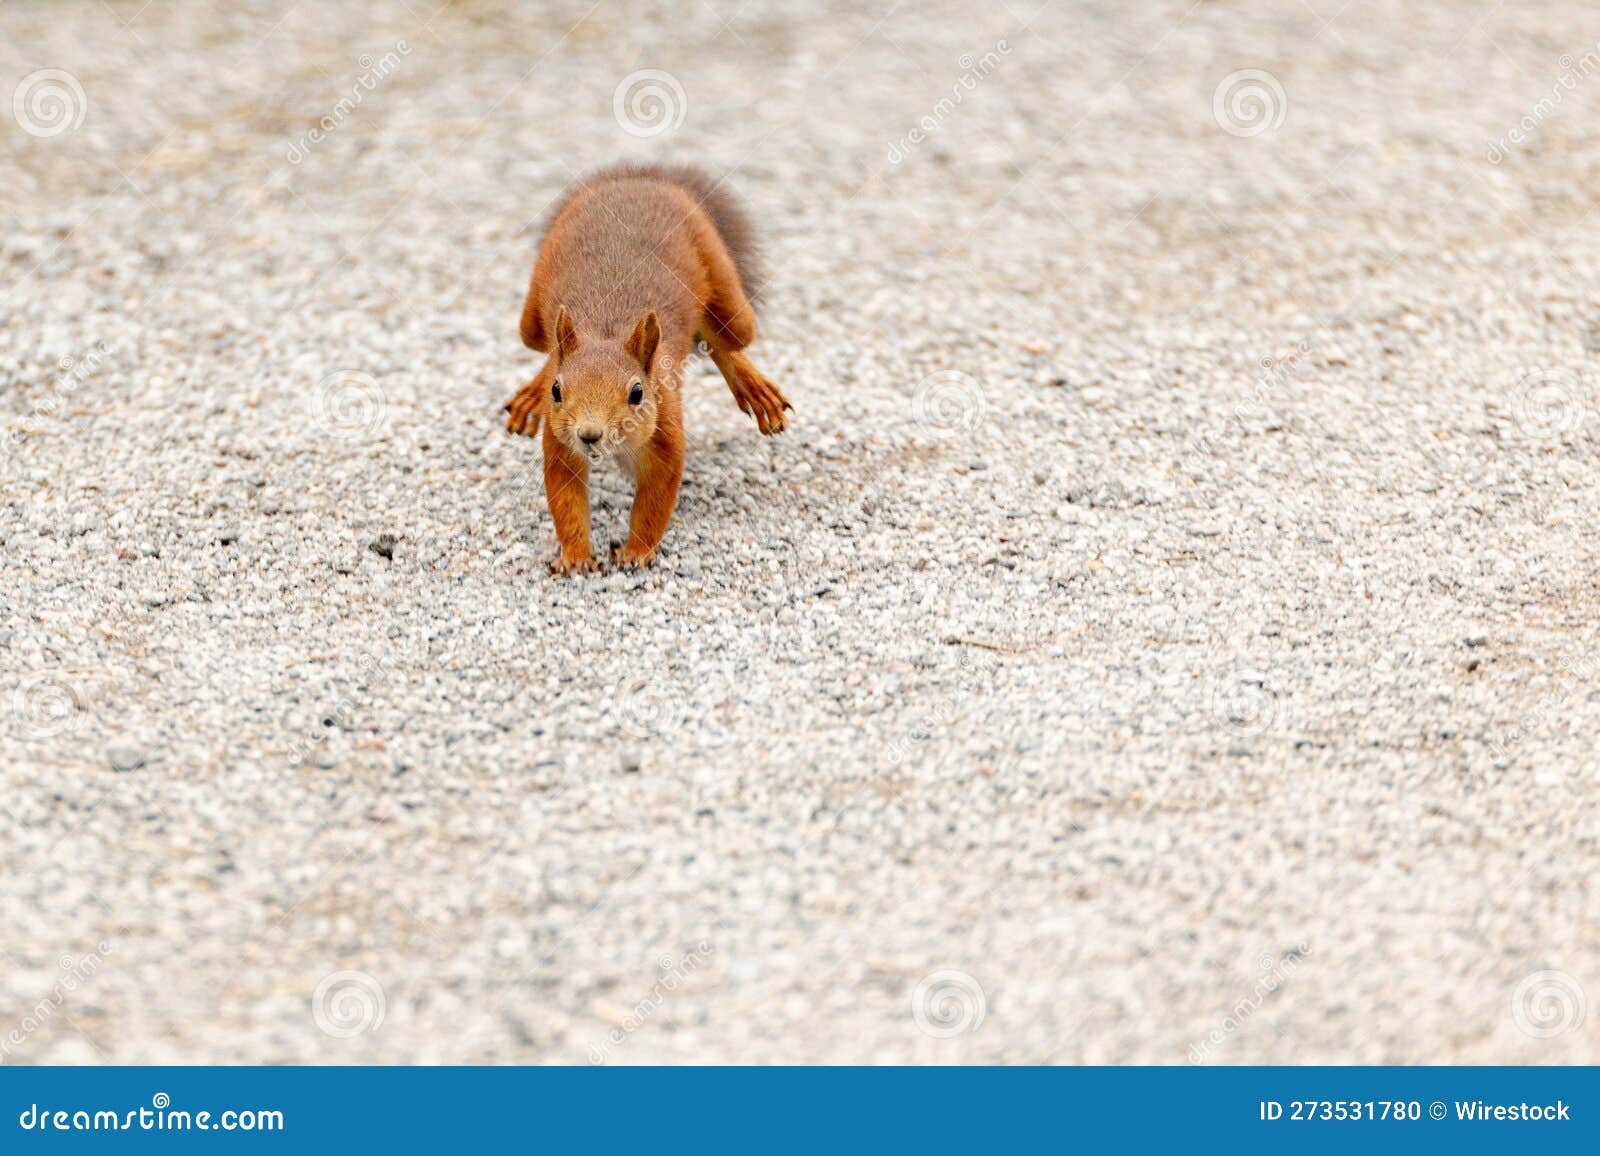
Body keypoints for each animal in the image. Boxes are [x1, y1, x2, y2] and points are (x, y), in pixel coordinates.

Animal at [504, 164, 791, 576]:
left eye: (638, 393)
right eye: (557, 392)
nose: (589, 434)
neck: (606, 331)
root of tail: (642, 178)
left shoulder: (666, 427)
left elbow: (656, 498)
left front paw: (636, 551)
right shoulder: (560, 439)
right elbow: (566, 498)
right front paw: (575, 557)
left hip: (727, 293)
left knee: (722, 337)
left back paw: (755, 388)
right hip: (530, 319)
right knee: (547, 347)